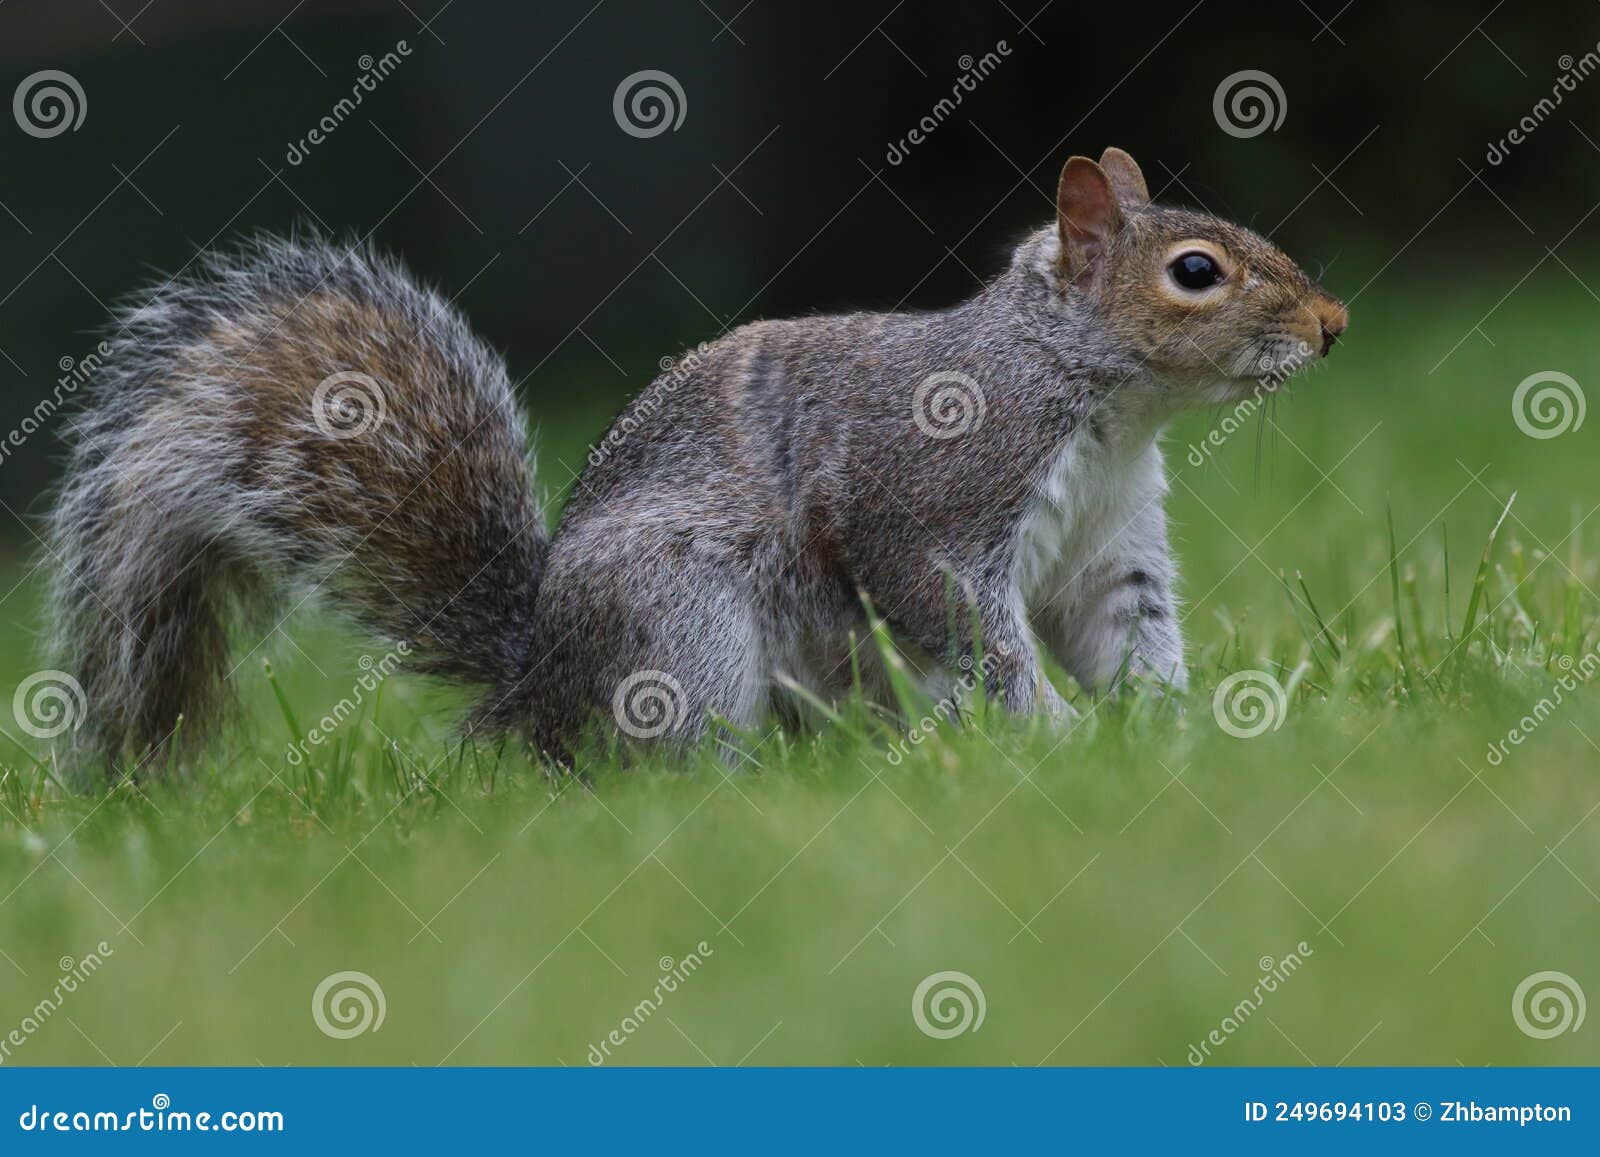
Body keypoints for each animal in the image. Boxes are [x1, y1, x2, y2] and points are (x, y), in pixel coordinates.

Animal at [44, 147, 1346, 769]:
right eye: (1195, 271)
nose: (1332, 323)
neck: (1099, 404)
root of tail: (535, 683)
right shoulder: (931, 497)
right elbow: (968, 624)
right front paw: (1058, 738)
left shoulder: (1105, 547)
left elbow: (1121, 630)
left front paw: (1171, 727)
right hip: (677, 620)